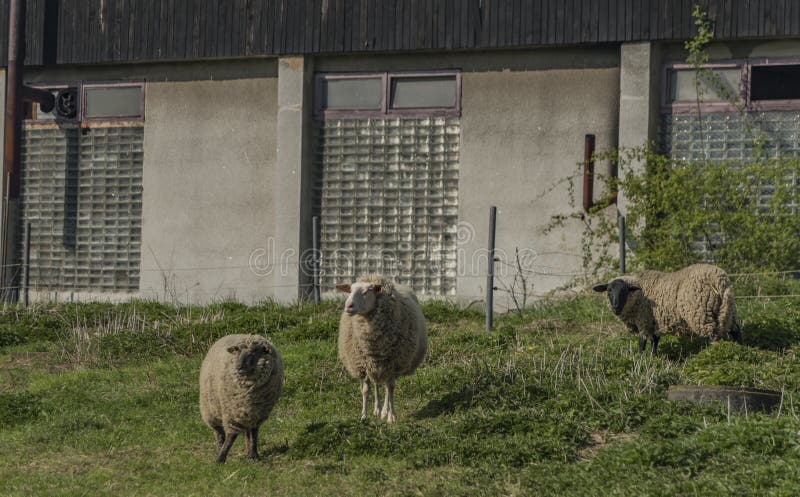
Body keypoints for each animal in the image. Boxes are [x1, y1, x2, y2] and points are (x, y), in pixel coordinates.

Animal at [199, 334, 284, 463]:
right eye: (237, 350)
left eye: (255, 351)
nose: (239, 367)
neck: (249, 394)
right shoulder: (233, 411)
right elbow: (231, 436)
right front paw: (220, 458)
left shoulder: (257, 413)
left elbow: (254, 433)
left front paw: (254, 455)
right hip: (210, 408)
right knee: (219, 433)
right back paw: (219, 448)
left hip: (246, 413)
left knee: (247, 431)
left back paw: (249, 453)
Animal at [336, 275, 428, 423]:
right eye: (350, 290)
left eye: (367, 291)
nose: (348, 306)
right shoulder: (363, 364)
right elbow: (365, 390)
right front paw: (364, 416)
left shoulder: (393, 364)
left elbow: (390, 389)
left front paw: (391, 416)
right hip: (375, 366)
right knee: (376, 384)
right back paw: (377, 410)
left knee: (386, 387)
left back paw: (384, 411)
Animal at [592, 263, 742, 354]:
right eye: (609, 291)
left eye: (625, 291)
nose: (615, 307)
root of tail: (720, 280)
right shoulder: (654, 321)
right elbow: (655, 341)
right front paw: (653, 357)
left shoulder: (643, 320)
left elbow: (642, 342)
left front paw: (640, 360)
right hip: (729, 309)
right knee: (736, 331)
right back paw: (740, 349)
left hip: (701, 313)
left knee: (712, 336)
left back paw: (710, 354)